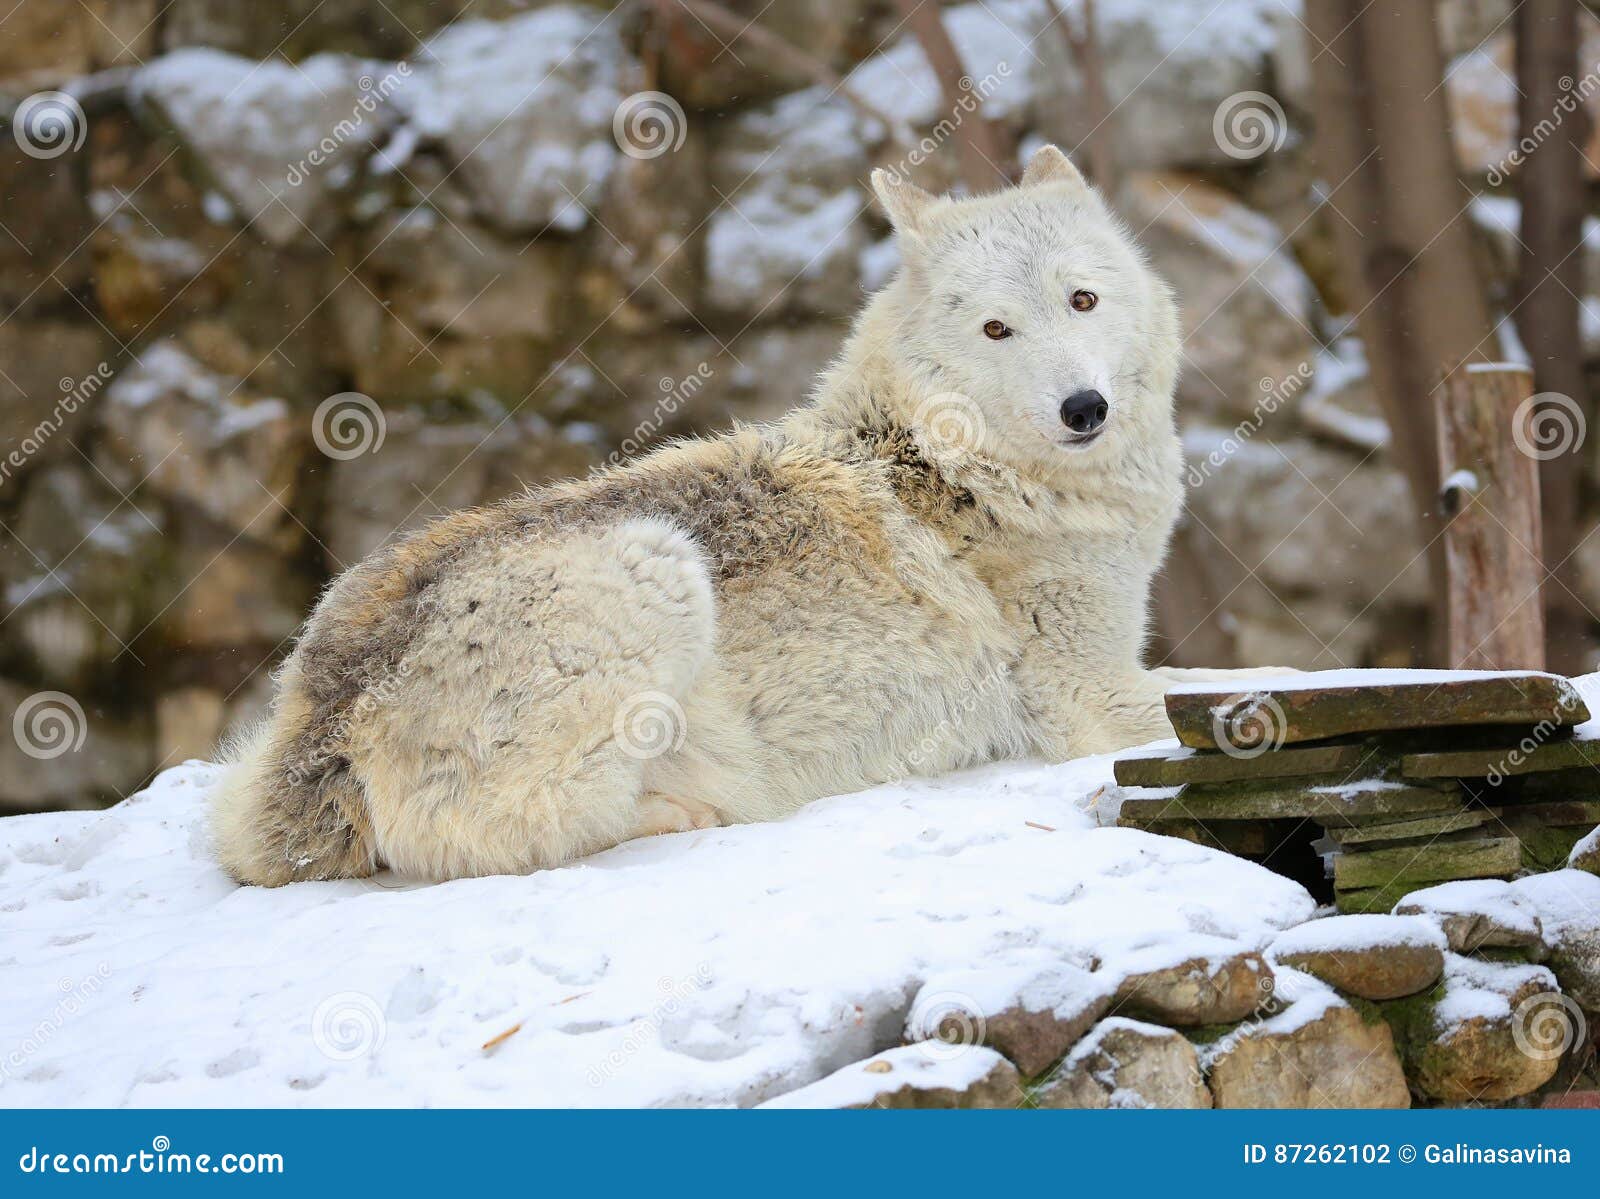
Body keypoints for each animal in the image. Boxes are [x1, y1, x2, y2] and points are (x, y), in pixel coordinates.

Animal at [212, 145, 1266, 886]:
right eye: (996, 329)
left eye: (1082, 299)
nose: (1084, 408)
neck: (951, 465)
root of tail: (318, 711)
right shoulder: (1087, 692)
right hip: (657, 566)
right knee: (493, 839)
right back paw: (691, 813)